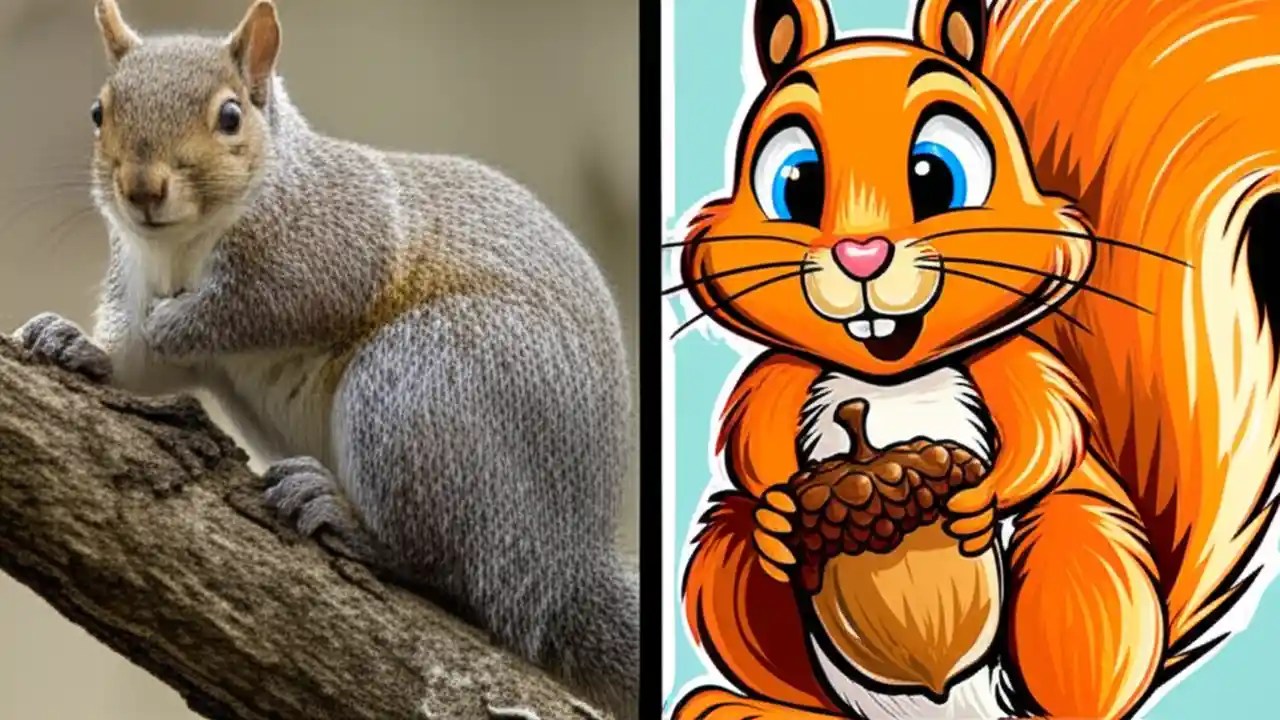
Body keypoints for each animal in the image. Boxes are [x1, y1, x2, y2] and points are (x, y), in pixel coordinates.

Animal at [12, 1, 637, 716]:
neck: (182, 244)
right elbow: (139, 362)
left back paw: (343, 514)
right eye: (99, 111)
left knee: (458, 571)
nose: (142, 188)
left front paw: (179, 324)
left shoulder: (331, 243)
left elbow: (268, 306)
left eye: (231, 116)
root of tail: (567, 563)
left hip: (423, 387)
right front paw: (75, 344)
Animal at [671, 0, 1280, 718]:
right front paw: (778, 517)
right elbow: (754, 444)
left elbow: (1050, 431)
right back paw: (743, 703)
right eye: (796, 182)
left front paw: (980, 499)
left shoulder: (1009, 361)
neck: (889, 374)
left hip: (1083, 576)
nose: (861, 255)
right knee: (735, 546)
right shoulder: (782, 375)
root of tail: (963, 705)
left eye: (937, 175)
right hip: (731, 576)